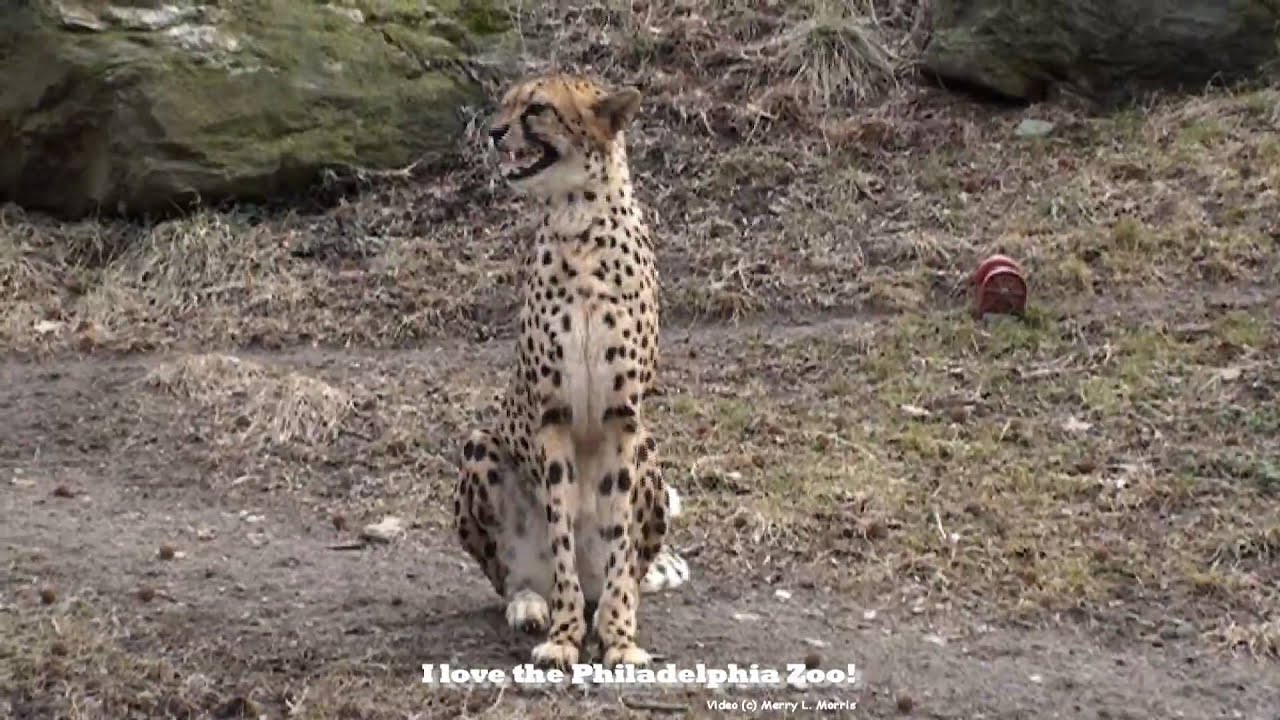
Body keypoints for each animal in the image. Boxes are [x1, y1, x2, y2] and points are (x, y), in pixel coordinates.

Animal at [452, 73, 690, 672]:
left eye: (537, 109)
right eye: (505, 103)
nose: (492, 132)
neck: (577, 224)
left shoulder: (623, 420)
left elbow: (619, 539)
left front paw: (620, 637)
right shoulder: (553, 419)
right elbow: (560, 531)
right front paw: (563, 636)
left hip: (651, 448)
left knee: (620, 569)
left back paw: (603, 609)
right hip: (478, 444)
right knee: (511, 576)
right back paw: (531, 603)